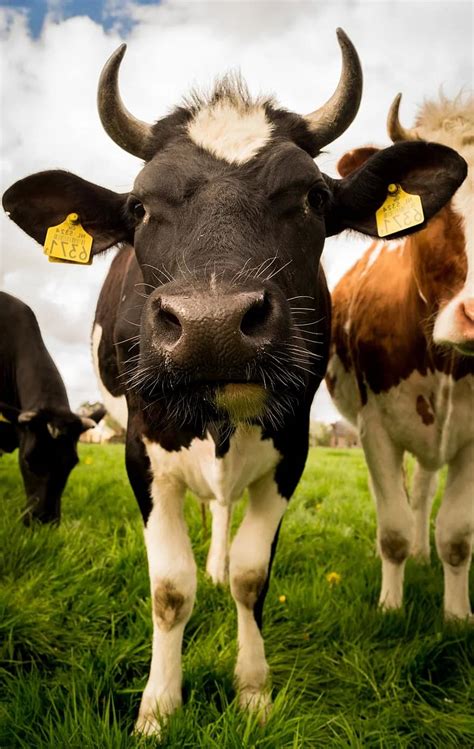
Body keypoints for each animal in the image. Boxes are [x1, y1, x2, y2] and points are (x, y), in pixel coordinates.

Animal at [327, 92, 473, 622]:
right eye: (438, 205)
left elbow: (456, 535)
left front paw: (457, 615)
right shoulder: (374, 427)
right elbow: (391, 526)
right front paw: (390, 605)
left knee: (425, 487)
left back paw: (423, 553)